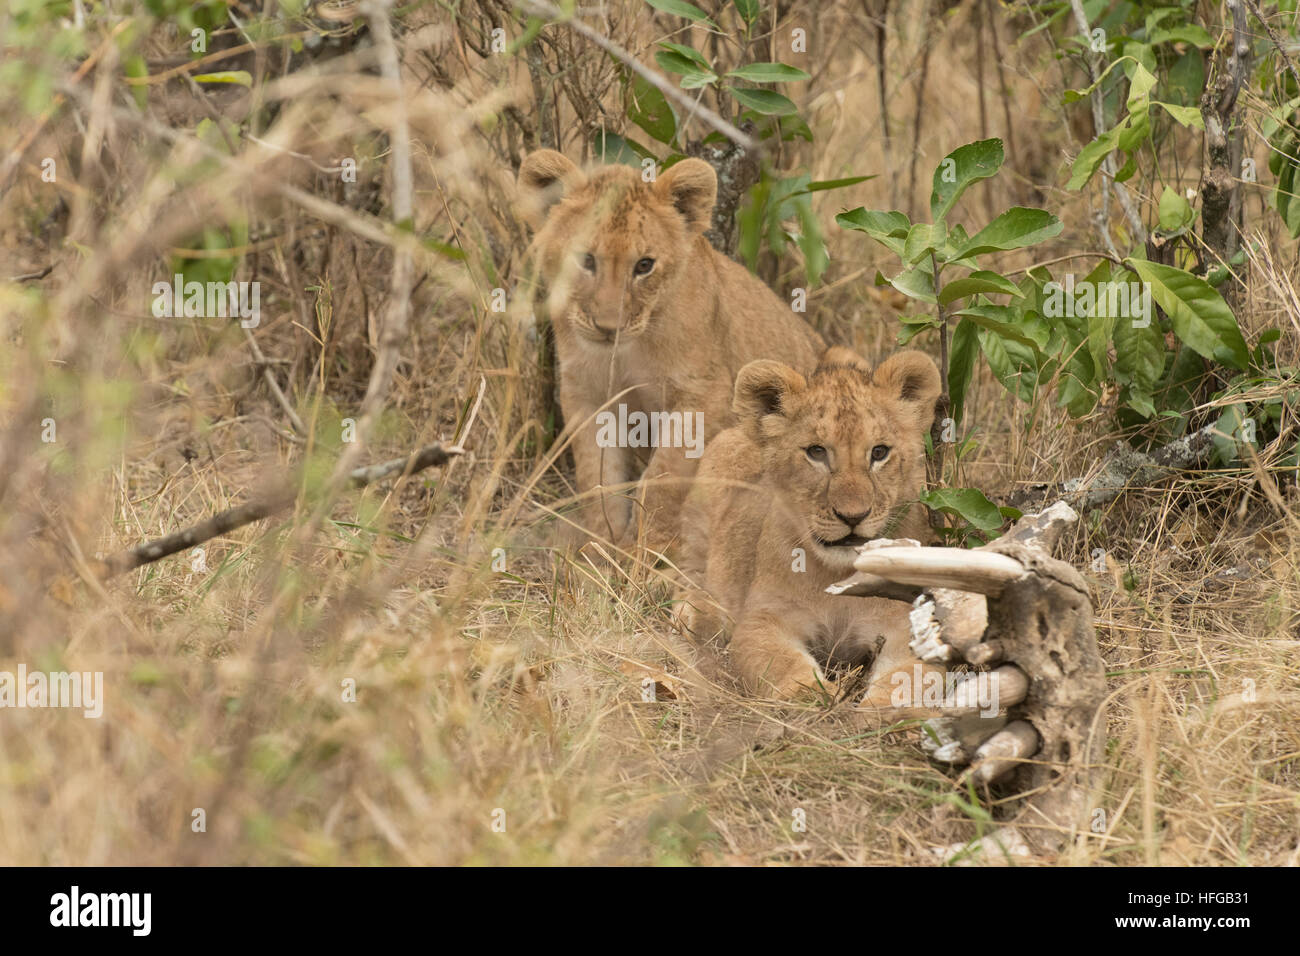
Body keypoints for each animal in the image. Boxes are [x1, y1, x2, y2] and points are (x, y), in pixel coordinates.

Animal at [516, 150, 825, 555]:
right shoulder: (585, 394)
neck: (625, 353)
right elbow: (598, 476)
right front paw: (601, 548)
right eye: (586, 260)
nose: (608, 327)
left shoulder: (705, 395)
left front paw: (643, 553)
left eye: (644, 265)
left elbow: (663, 478)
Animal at [676, 346, 948, 702]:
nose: (853, 516)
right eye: (816, 452)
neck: (838, 574)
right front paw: (816, 696)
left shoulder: (907, 624)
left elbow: (908, 680)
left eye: (879, 452)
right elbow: (781, 662)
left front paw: (877, 708)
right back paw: (696, 613)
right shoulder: (765, 618)